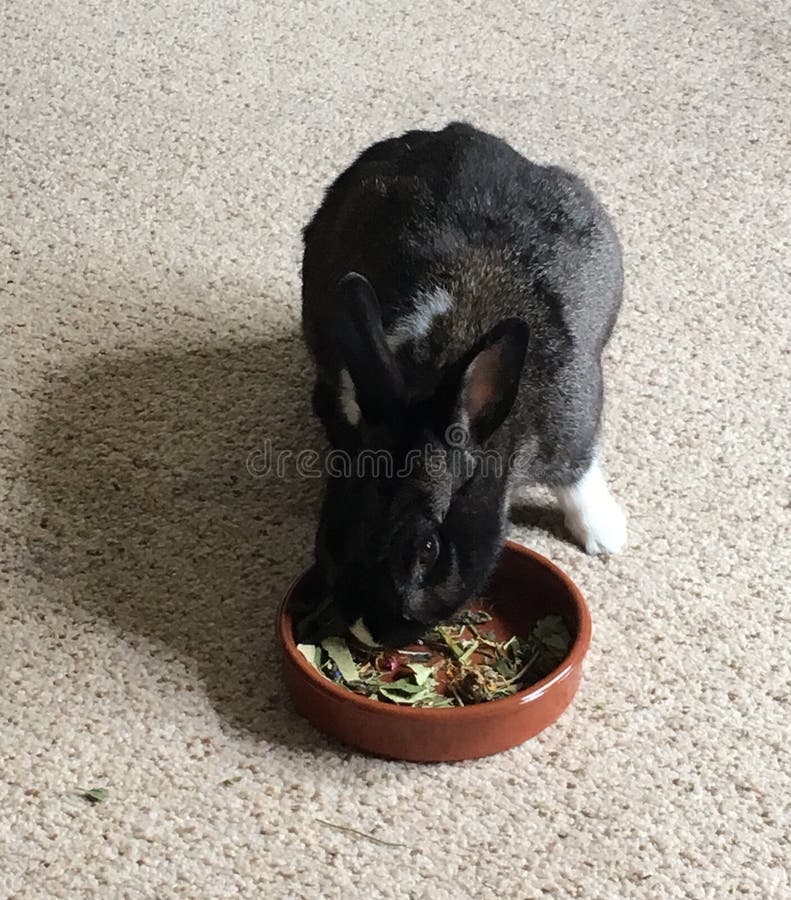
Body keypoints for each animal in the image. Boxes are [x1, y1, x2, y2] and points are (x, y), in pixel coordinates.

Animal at [297, 121, 626, 647]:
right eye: (338, 521)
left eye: (429, 549)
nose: (367, 631)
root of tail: (449, 132)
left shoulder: (574, 423)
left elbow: (578, 475)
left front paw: (605, 535)